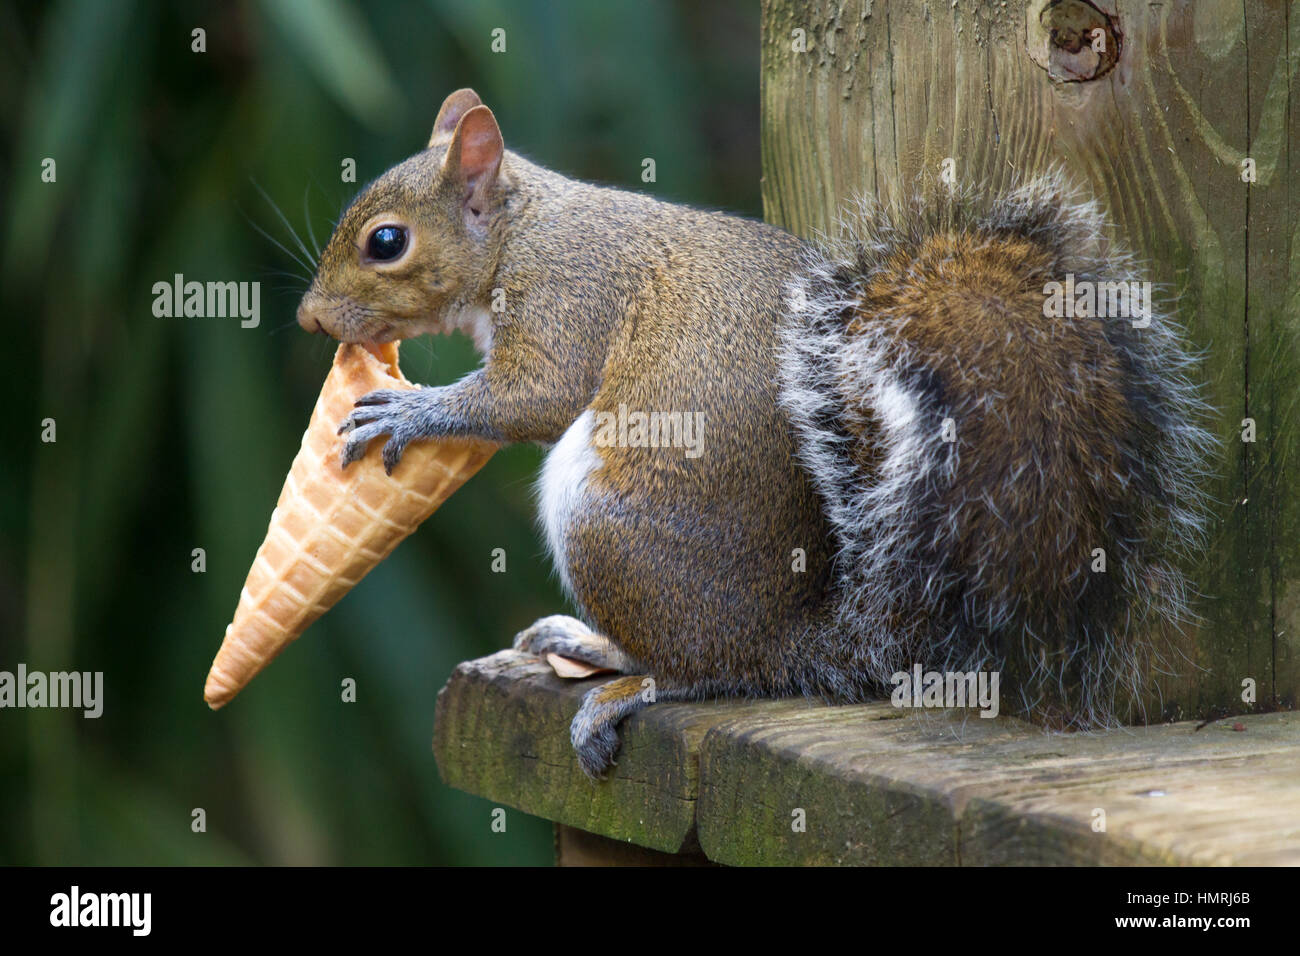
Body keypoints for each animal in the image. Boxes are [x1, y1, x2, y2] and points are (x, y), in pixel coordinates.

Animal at [296, 89, 1216, 778]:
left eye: (387, 242)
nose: (309, 319)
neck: (522, 229)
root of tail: (789, 641)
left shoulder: (569, 294)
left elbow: (535, 396)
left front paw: (412, 410)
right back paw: (588, 643)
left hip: (605, 521)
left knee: (704, 672)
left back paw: (632, 683)